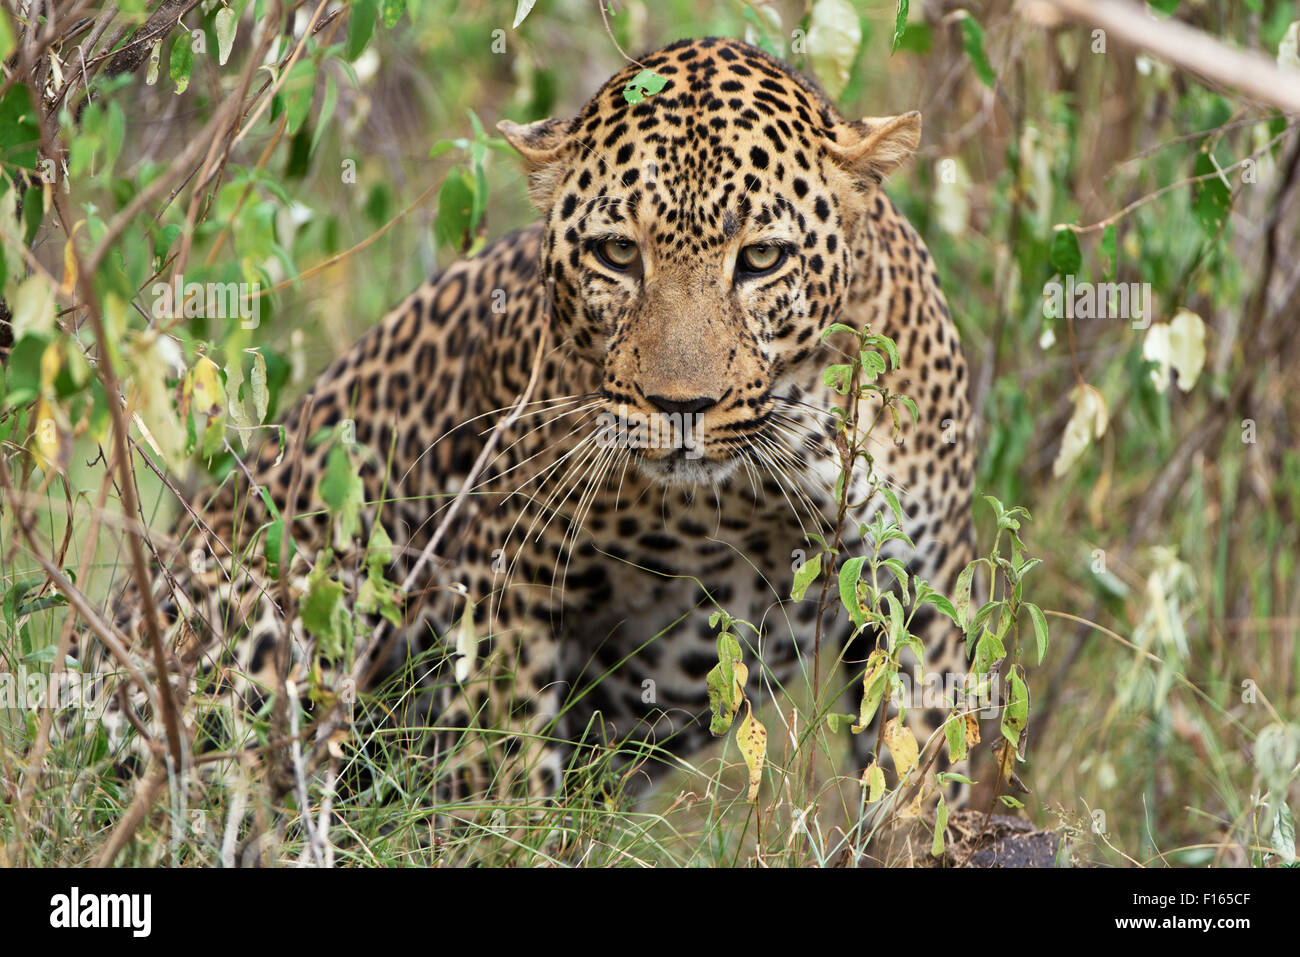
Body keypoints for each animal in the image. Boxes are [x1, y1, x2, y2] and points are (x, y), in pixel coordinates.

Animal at [74, 36, 977, 841]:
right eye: (617, 253)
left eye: (760, 259)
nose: (681, 405)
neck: (739, 493)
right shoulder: (507, 580)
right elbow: (500, 773)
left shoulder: (919, 597)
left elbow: (922, 780)